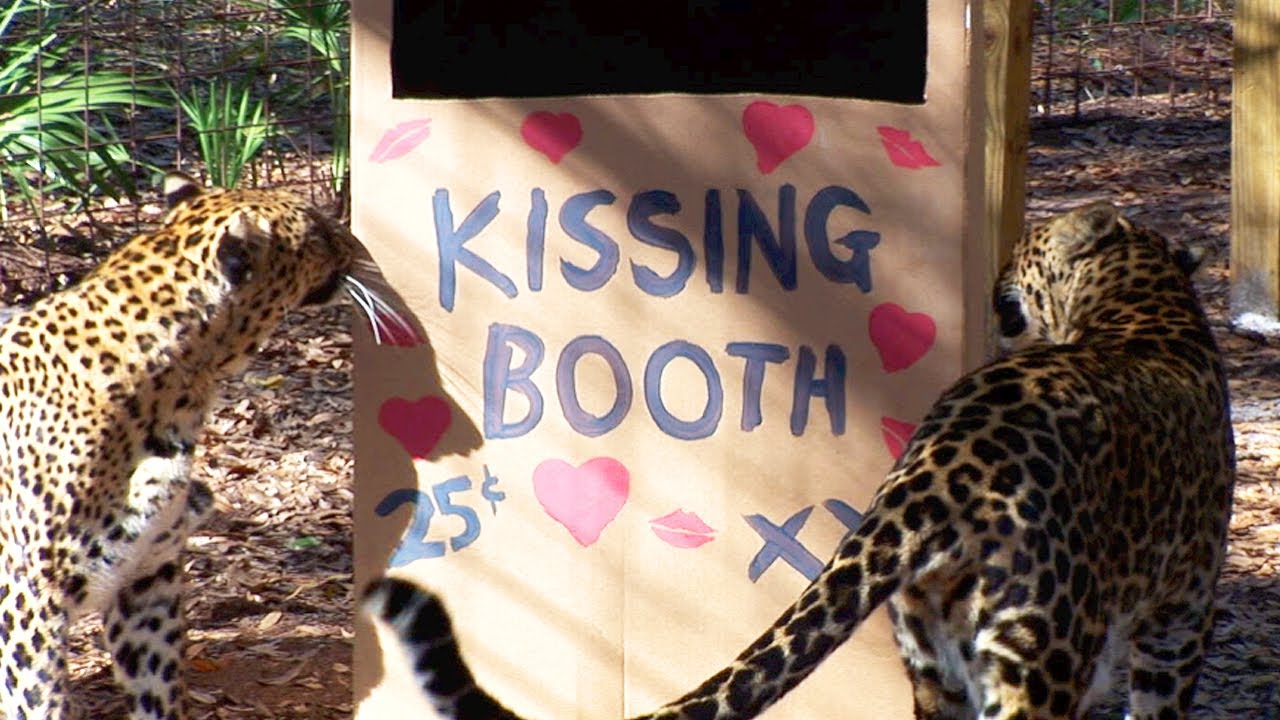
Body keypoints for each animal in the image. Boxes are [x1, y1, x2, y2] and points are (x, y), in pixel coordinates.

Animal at [0, 172, 411, 720]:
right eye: (318, 232)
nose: (357, 246)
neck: (183, 385)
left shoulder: (148, 573)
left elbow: (158, 685)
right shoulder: (29, 596)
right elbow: (36, 699)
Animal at [361, 201, 1235, 720]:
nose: (999, 271)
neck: (1144, 306)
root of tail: (942, 464)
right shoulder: (1179, 619)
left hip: (936, 659)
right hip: (1034, 657)